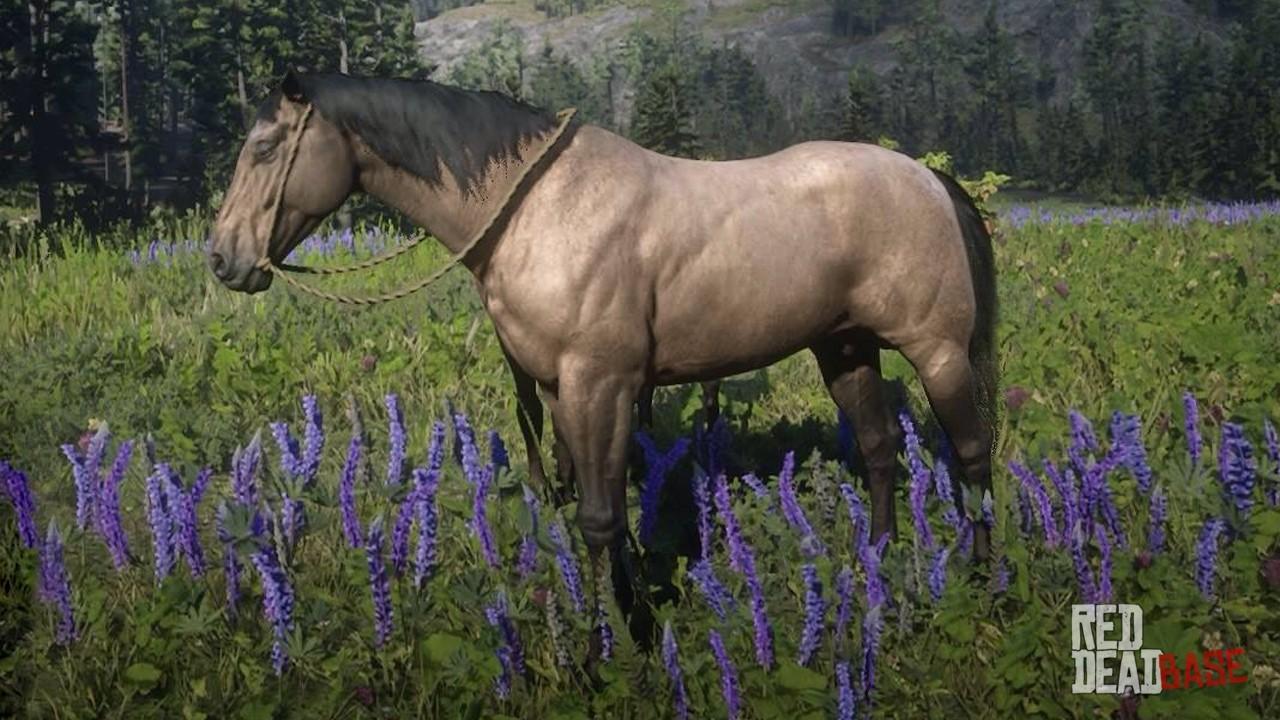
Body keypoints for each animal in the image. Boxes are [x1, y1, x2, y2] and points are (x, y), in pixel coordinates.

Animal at [208, 70, 998, 661]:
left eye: (266, 146)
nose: (223, 258)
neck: (543, 211)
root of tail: (929, 180)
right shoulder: (564, 392)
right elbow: (604, 515)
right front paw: (628, 621)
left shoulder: (603, 385)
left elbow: (596, 518)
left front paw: (608, 647)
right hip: (845, 348)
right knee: (880, 447)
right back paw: (878, 561)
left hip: (936, 351)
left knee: (969, 453)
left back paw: (984, 576)